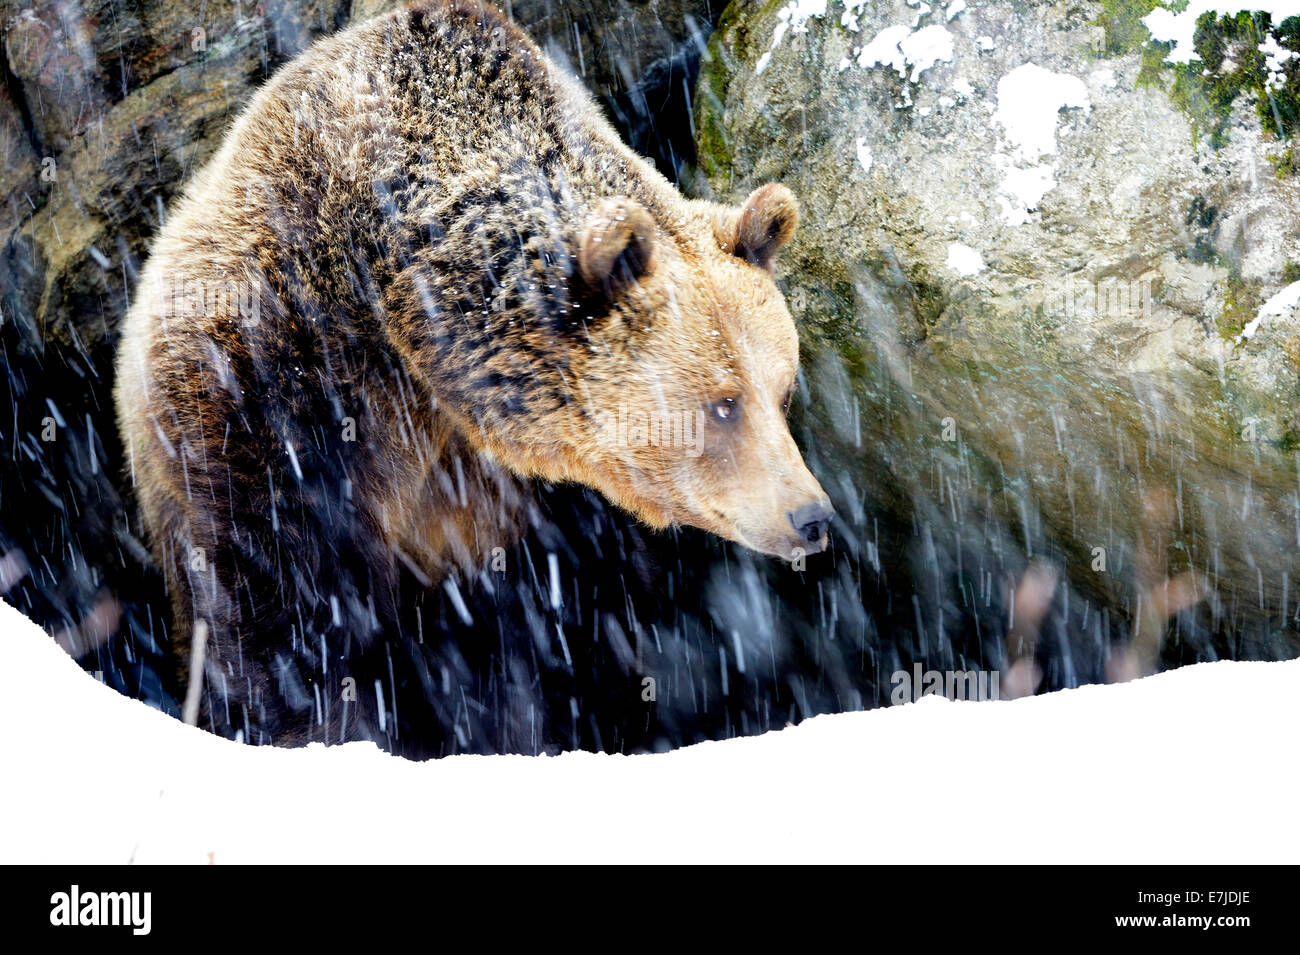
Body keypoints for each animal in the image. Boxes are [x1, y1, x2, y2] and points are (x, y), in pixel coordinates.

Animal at [114, 0, 833, 754]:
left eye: (782, 391)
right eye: (723, 404)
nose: (812, 515)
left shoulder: (545, 515)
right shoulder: (275, 395)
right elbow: (289, 621)